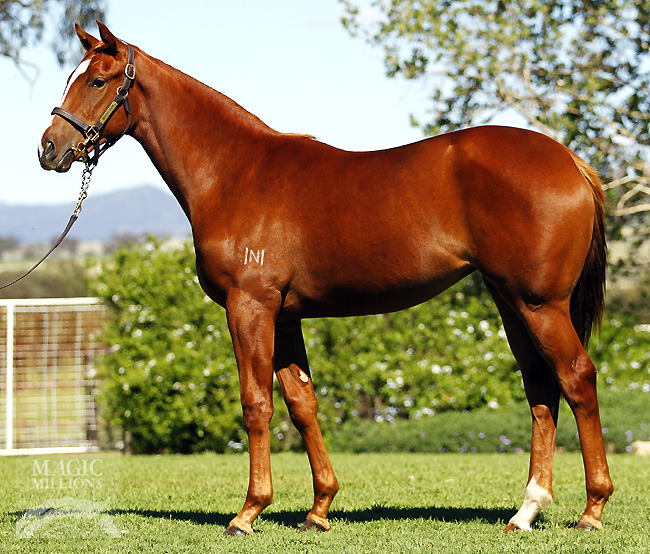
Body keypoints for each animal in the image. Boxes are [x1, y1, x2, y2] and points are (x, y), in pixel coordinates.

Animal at [39, 22, 613, 535]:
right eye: (70, 76)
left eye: (98, 81)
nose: (48, 148)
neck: (235, 172)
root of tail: (570, 161)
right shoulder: (285, 316)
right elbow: (302, 404)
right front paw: (319, 509)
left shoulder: (251, 308)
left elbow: (256, 404)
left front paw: (248, 513)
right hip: (511, 302)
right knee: (541, 388)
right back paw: (527, 511)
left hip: (540, 304)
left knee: (577, 378)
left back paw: (592, 509)